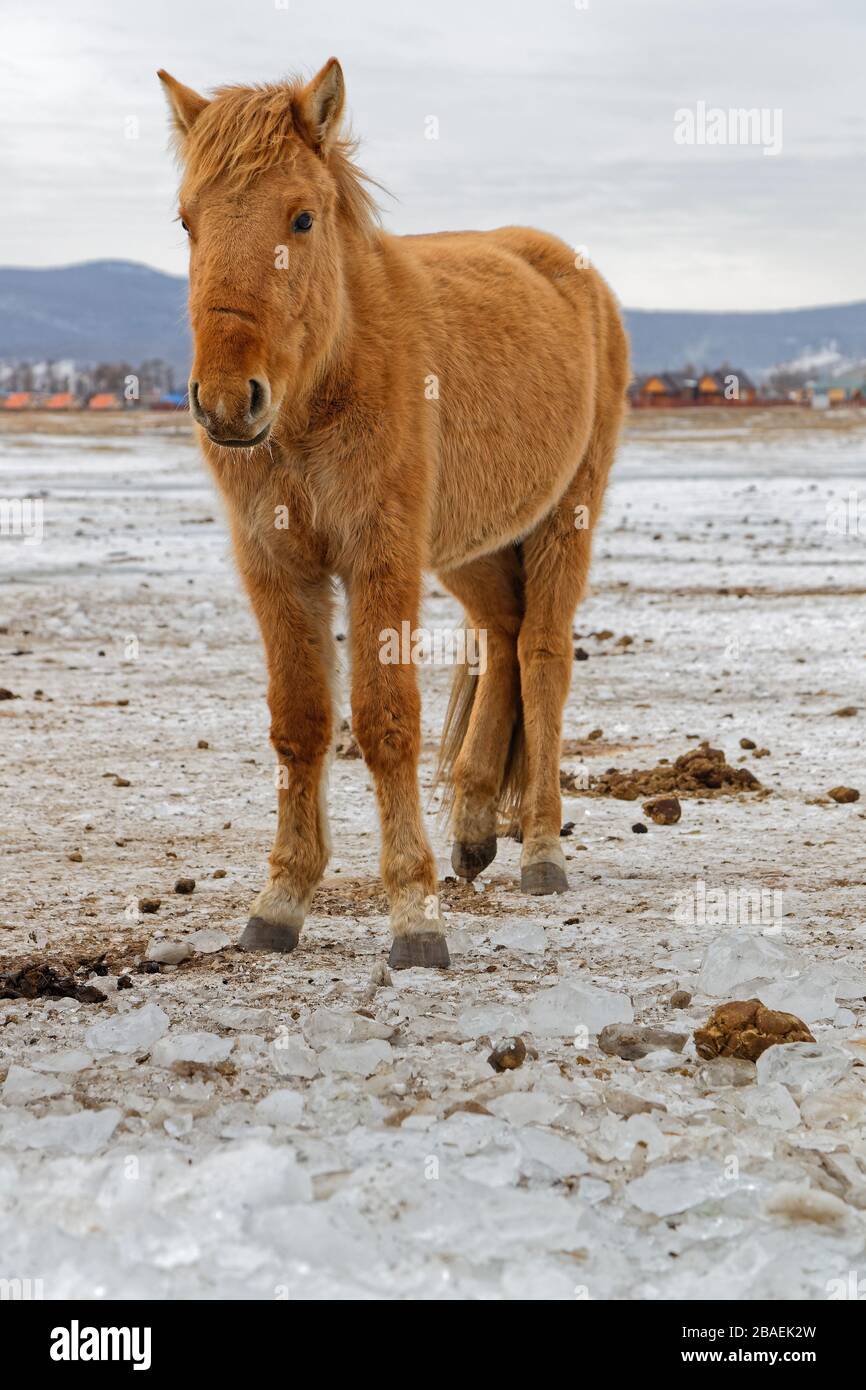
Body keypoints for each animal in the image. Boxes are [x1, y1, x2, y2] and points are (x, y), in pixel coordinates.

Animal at [158, 57, 630, 970]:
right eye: (187, 220)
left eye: (303, 217)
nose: (227, 402)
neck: (326, 379)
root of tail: (572, 268)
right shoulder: (277, 567)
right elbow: (301, 722)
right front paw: (281, 902)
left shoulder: (380, 557)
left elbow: (384, 721)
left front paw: (414, 914)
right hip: (472, 548)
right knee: (502, 638)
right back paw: (476, 828)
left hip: (565, 518)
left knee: (543, 657)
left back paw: (541, 851)